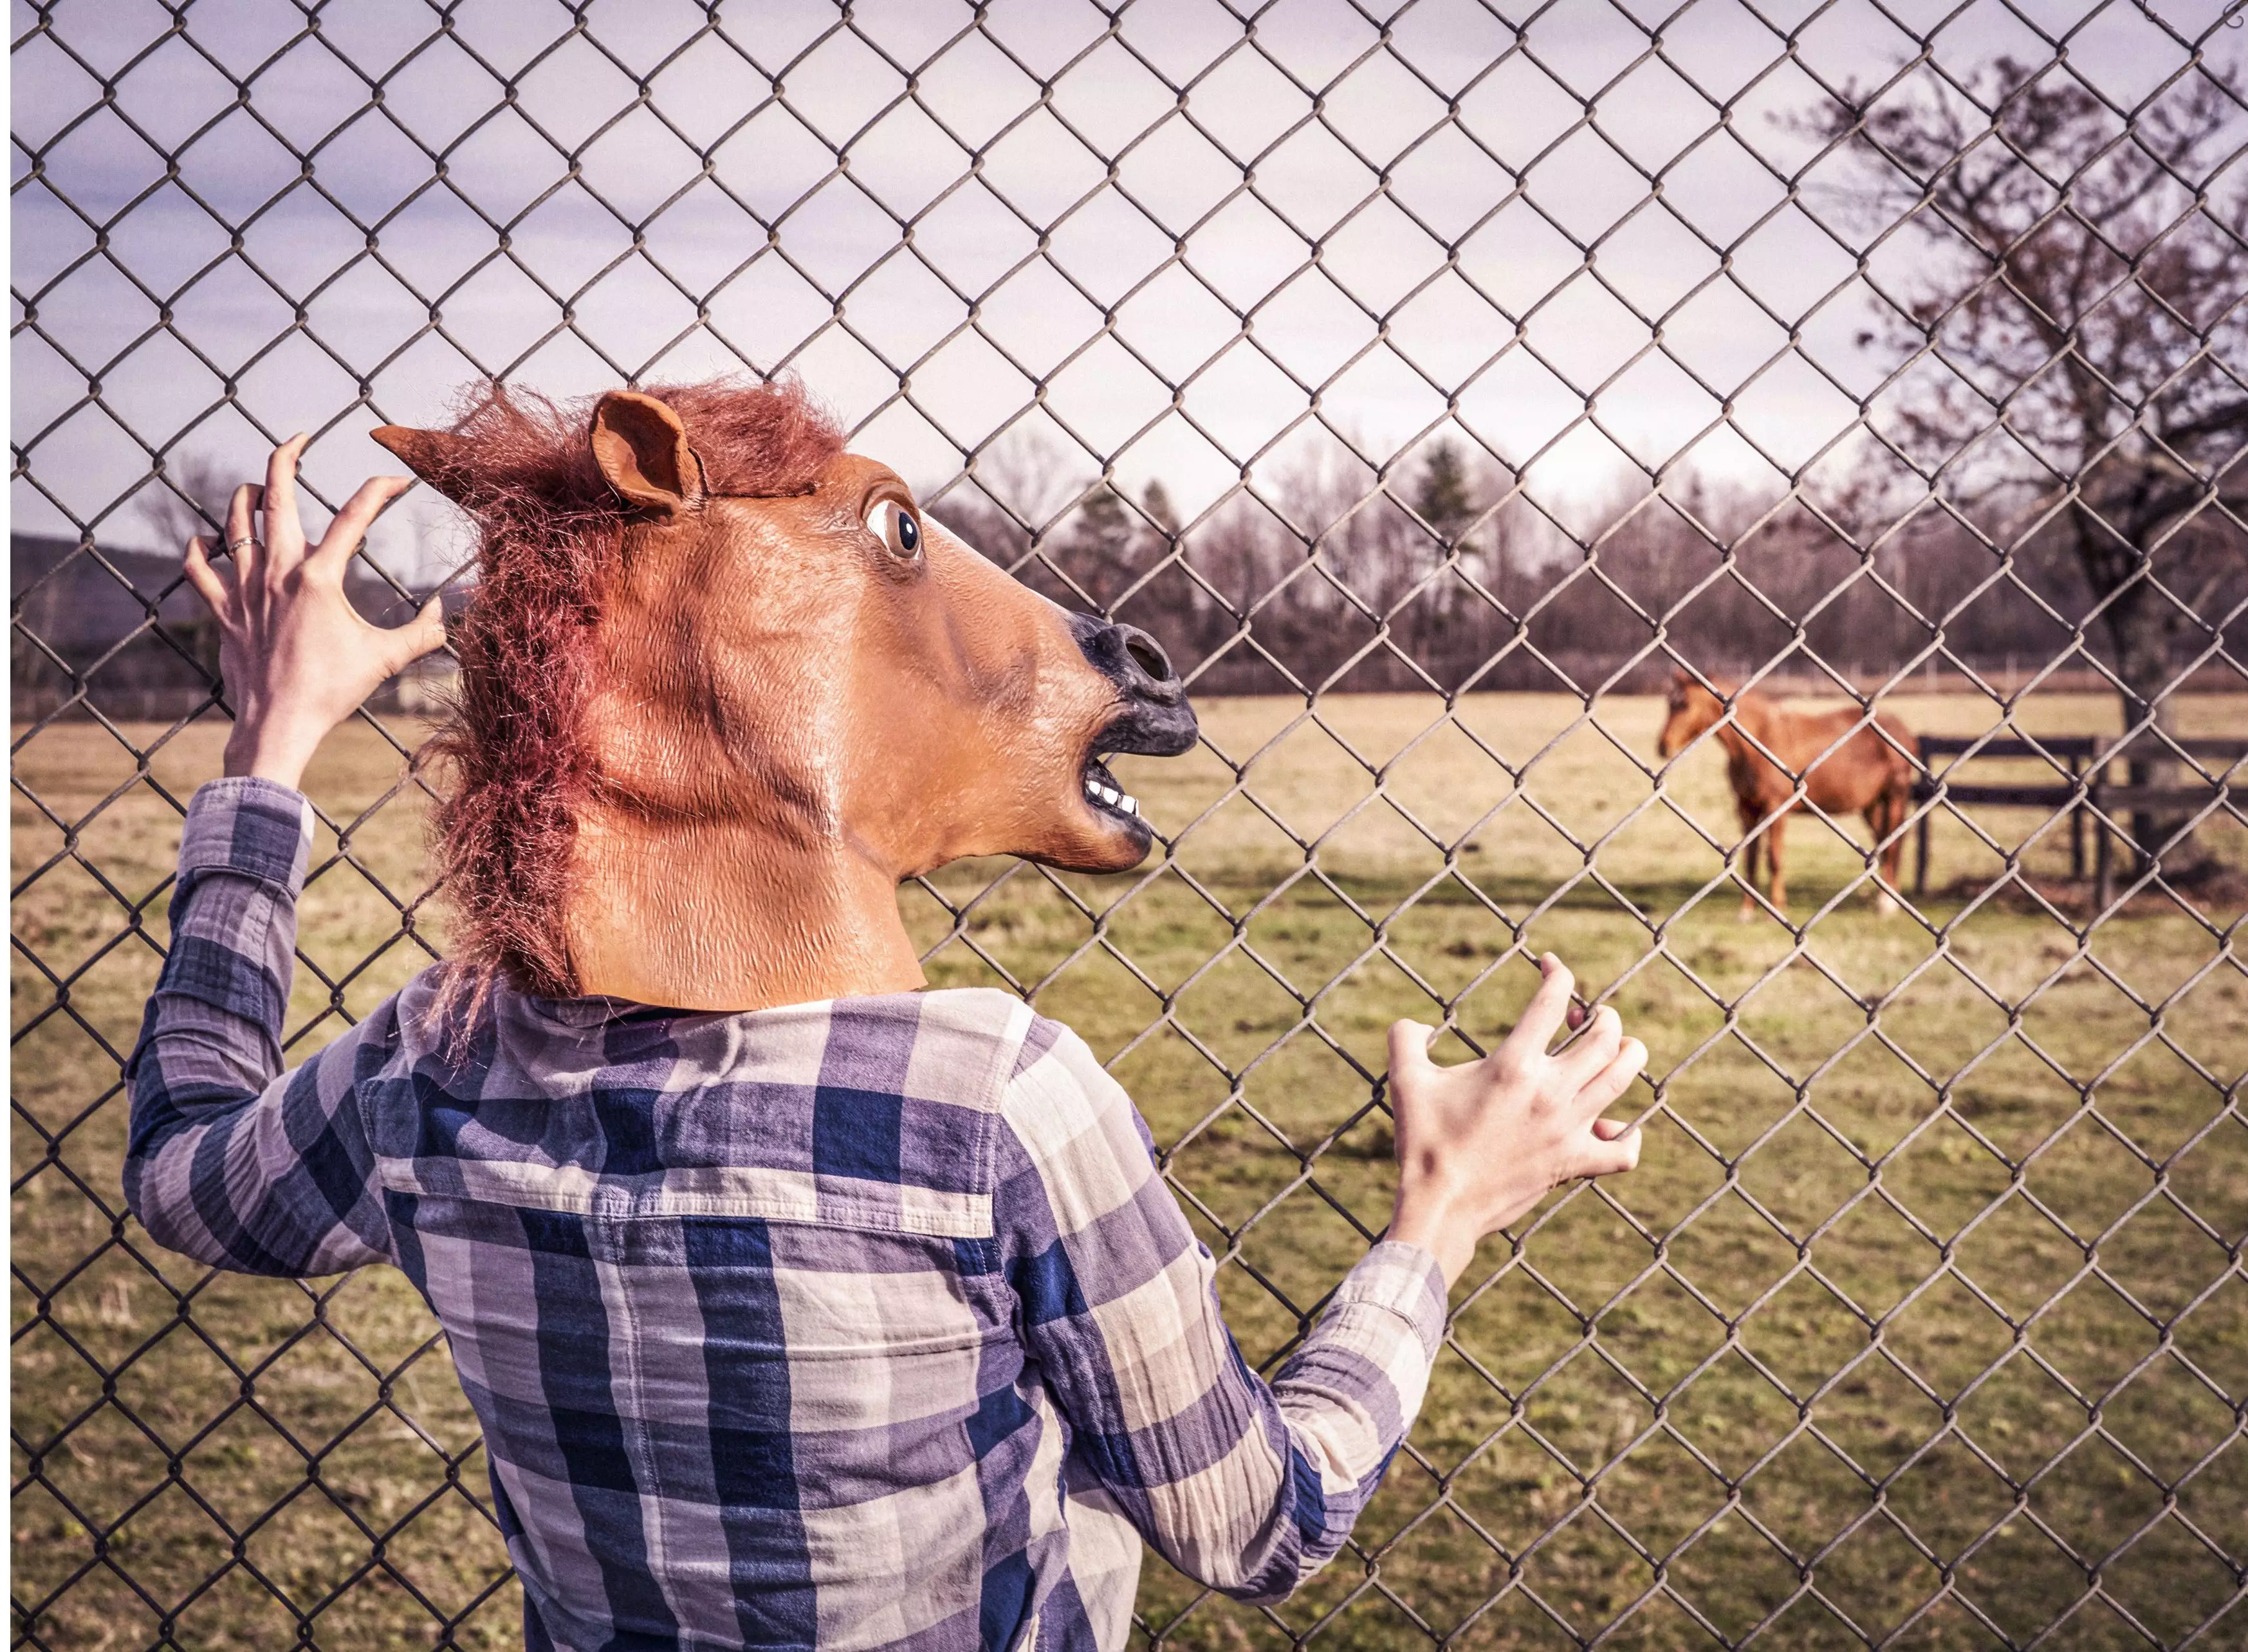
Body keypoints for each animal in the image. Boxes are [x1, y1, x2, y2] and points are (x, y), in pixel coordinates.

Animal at [1663, 674, 1924, 917]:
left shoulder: (1775, 807)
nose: (1663, 745)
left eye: (1685, 704)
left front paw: (1777, 908)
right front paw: (1746, 911)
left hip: (1895, 797)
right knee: (1884, 843)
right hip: (1871, 806)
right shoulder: (1747, 807)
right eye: (1670, 703)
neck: (1758, 741)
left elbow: (1774, 859)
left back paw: (1886, 904)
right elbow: (1750, 859)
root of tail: (1907, 735)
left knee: (1894, 845)